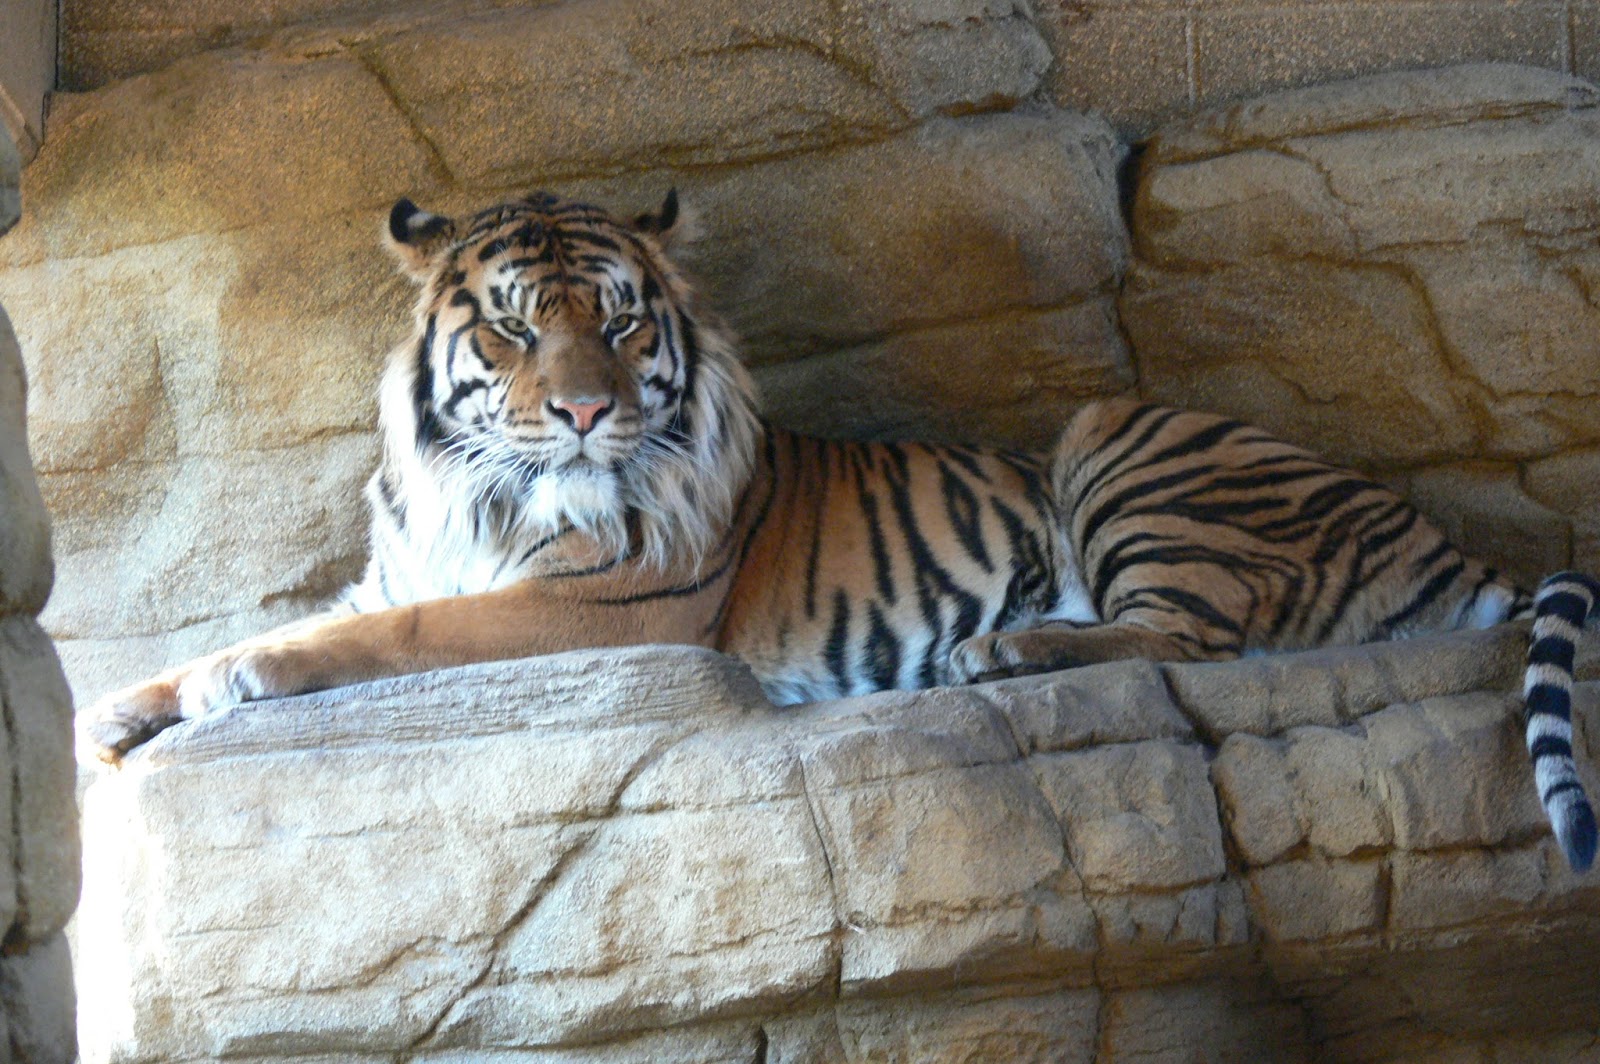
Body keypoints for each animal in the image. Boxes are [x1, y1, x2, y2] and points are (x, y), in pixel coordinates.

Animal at [81, 190, 1599, 873]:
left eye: (618, 318)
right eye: (509, 324)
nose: (582, 410)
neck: (476, 481)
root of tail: (1445, 541)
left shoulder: (589, 603)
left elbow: (381, 637)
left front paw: (232, 680)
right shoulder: (410, 558)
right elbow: (317, 616)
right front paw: (116, 708)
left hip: (1119, 437)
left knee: (1193, 637)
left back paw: (1007, 653)